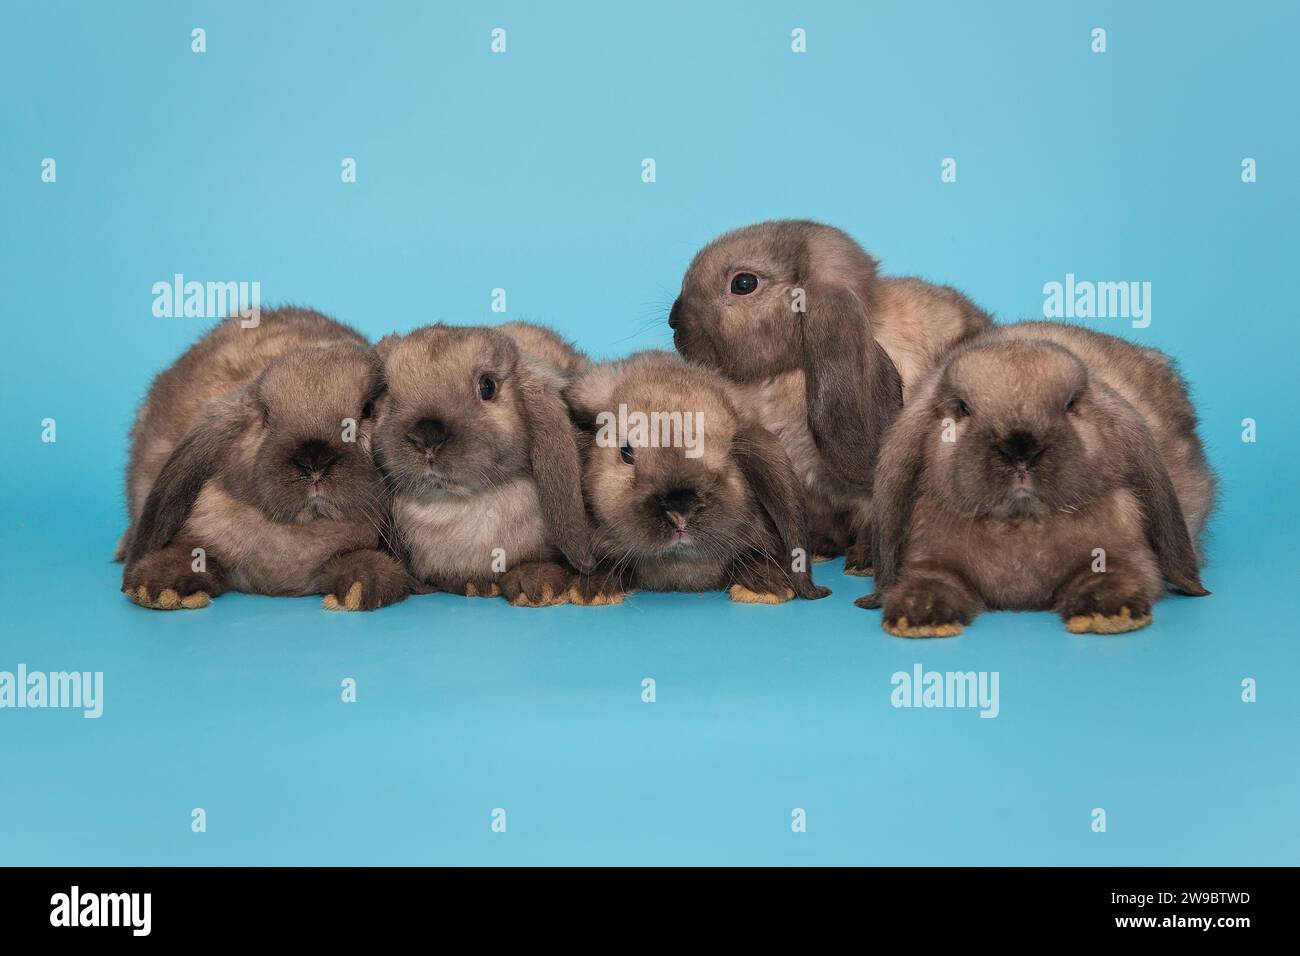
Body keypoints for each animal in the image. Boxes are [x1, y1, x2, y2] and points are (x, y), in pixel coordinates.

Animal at [120, 307, 411, 611]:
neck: (300, 534)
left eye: (367, 410)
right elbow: (193, 554)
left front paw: (363, 583)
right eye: (266, 416)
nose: (314, 461)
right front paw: (159, 588)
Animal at [370, 322, 592, 606]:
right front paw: (473, 584)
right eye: (387, 390)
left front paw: (536, 584)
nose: (426, 436)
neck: (461, 504)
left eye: (487, 386)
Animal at [854, 321, 1215, 636]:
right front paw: (917, 616)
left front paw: (1109, 612)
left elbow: (1113, 576)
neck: (1020, 523)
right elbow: (931, 581)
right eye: (962, 408)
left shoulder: (1128, 558)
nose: (1021, 448)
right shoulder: (928, 562)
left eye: (1071, 403)